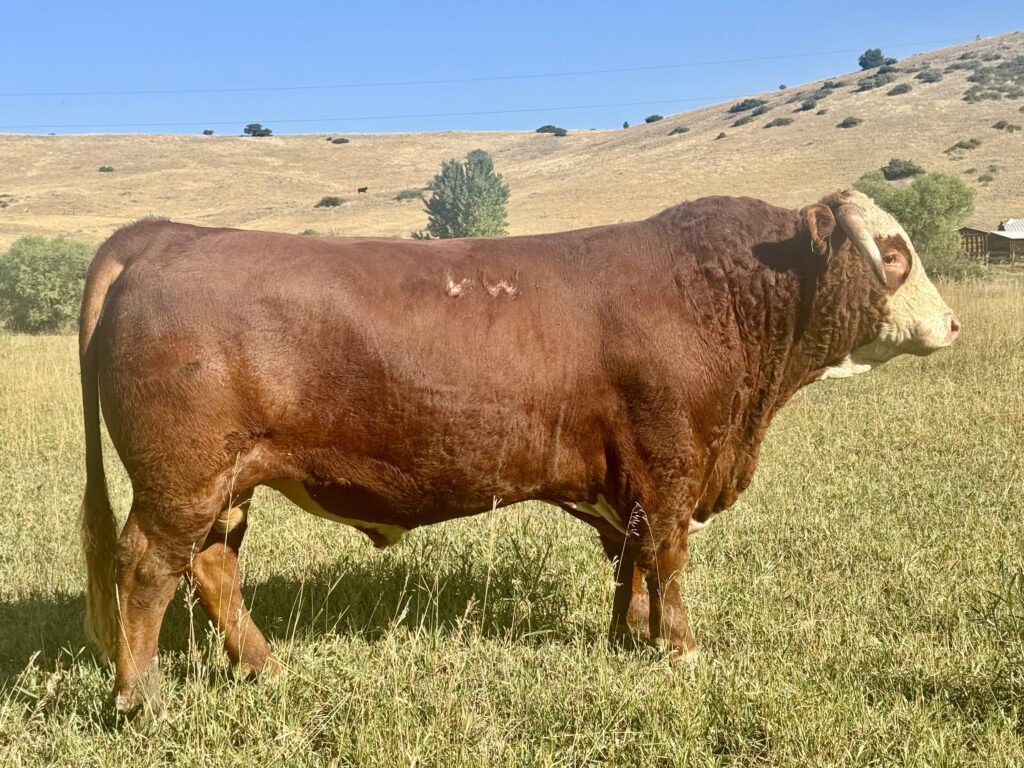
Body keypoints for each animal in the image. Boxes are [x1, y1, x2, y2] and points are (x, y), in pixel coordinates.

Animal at [79, 190, 959, 717]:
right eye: (893, 252)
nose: (952, 325)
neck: (721, 292)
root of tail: (165, 233)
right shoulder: (670, 469)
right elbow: (669, 559)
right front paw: (678, 648)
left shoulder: (627, 485)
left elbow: (631, 562)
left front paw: (627, 636)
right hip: (183, 479)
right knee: (148, 569)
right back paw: (141, 699)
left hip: (224, 484)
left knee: (212, 568)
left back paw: (263, 667)